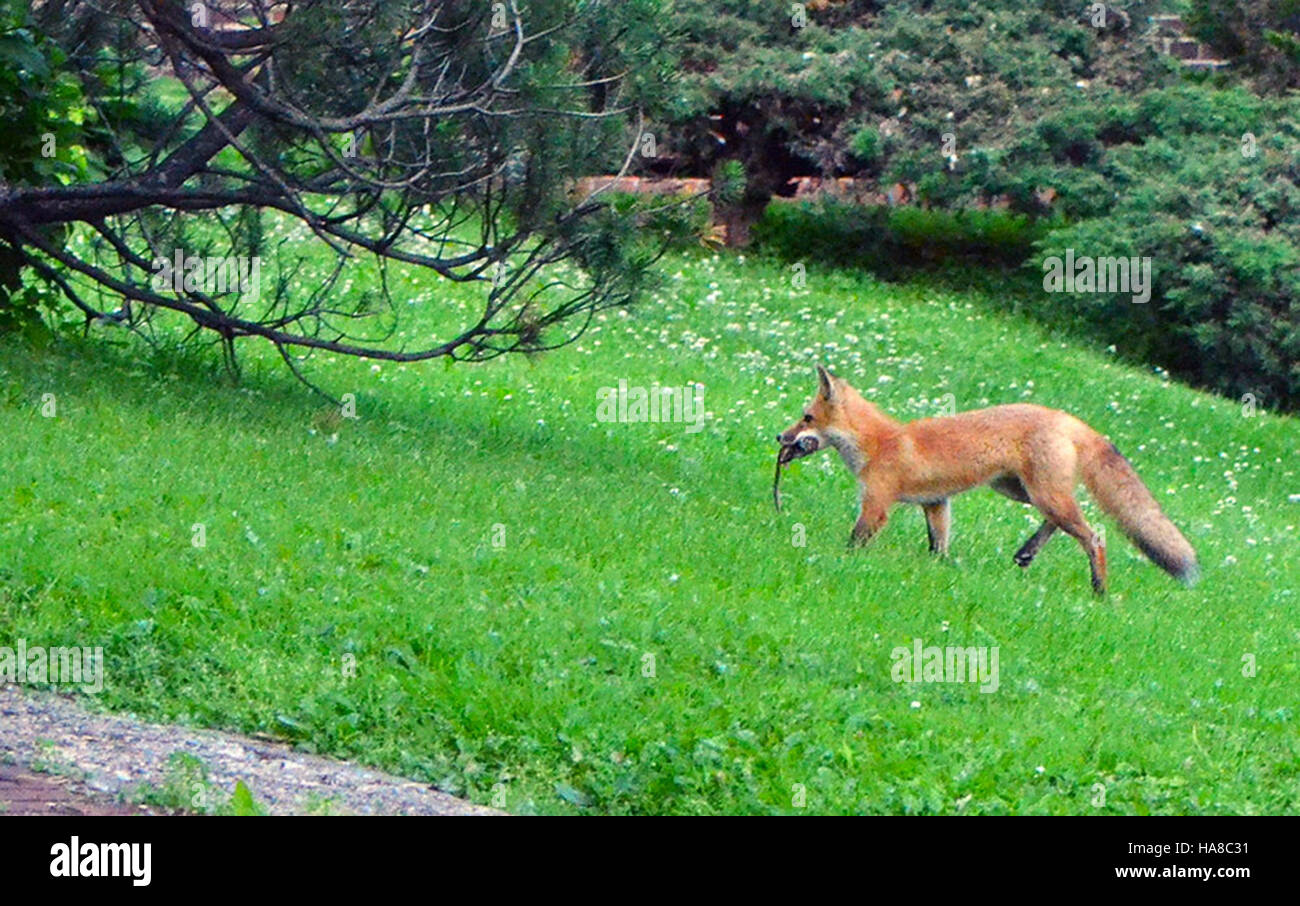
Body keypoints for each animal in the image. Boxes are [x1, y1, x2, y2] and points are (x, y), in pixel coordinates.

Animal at [776, 366, 1199, 595]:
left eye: (807, 418)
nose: (780, 437)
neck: (880, 442)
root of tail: (1066, 418)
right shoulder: (937, 504)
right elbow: (938, 545)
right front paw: (941, 569)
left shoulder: (877, 503)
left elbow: (855, 540)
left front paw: (840, 560)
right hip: (1021, 490)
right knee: (1063, 522)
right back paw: (1027, 552)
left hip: (1041, 493)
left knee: (1094, 536)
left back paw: (1099, 590)